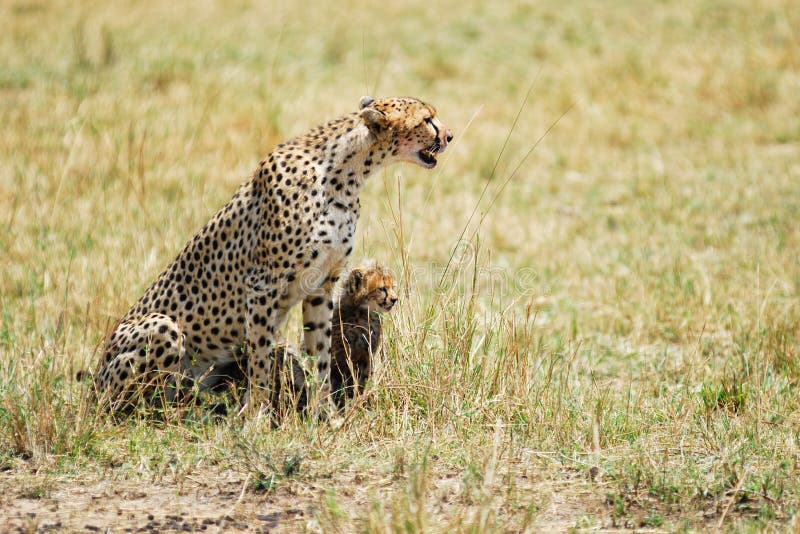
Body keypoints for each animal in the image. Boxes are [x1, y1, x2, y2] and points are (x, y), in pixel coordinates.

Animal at [91, 96, 452, 414]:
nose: (449, 135)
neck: (346, 174)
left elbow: (320, 355)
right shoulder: (263, 283)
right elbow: (262, 359)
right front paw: (256, 419)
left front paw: (325, 416)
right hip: (162, 328)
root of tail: (93, 383)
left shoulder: (321, 284)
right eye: (427, 119)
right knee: (132, 405)